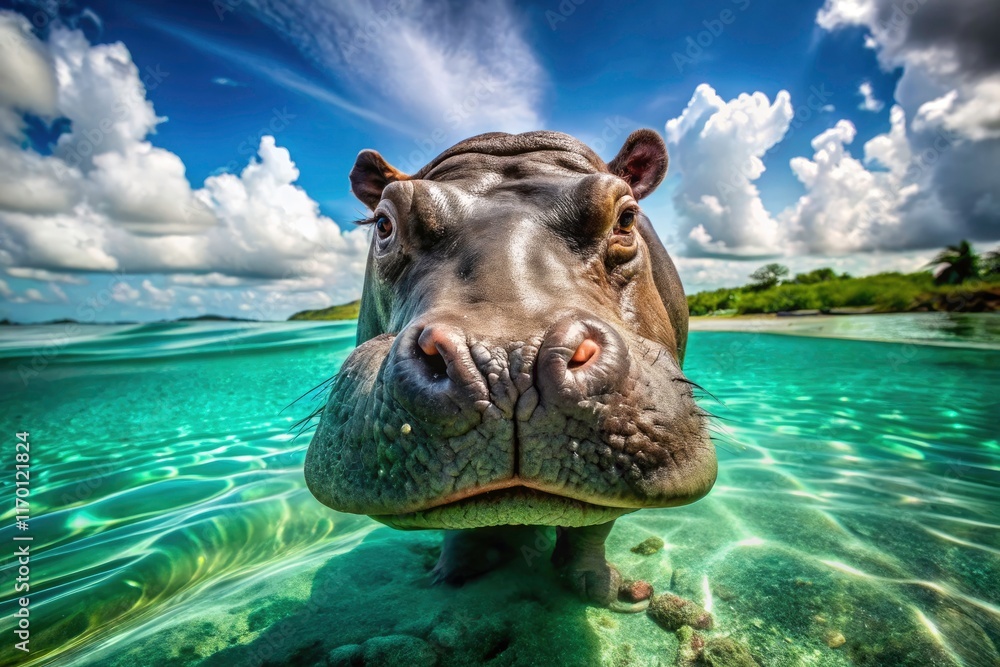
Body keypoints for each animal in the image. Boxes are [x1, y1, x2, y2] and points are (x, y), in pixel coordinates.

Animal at [305, 129, 717, 607]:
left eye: (628, 218)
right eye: (384, 224)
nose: (509, 361)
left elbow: (595, 527)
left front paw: (601, 590)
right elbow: (456, 528)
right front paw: (453, 574)